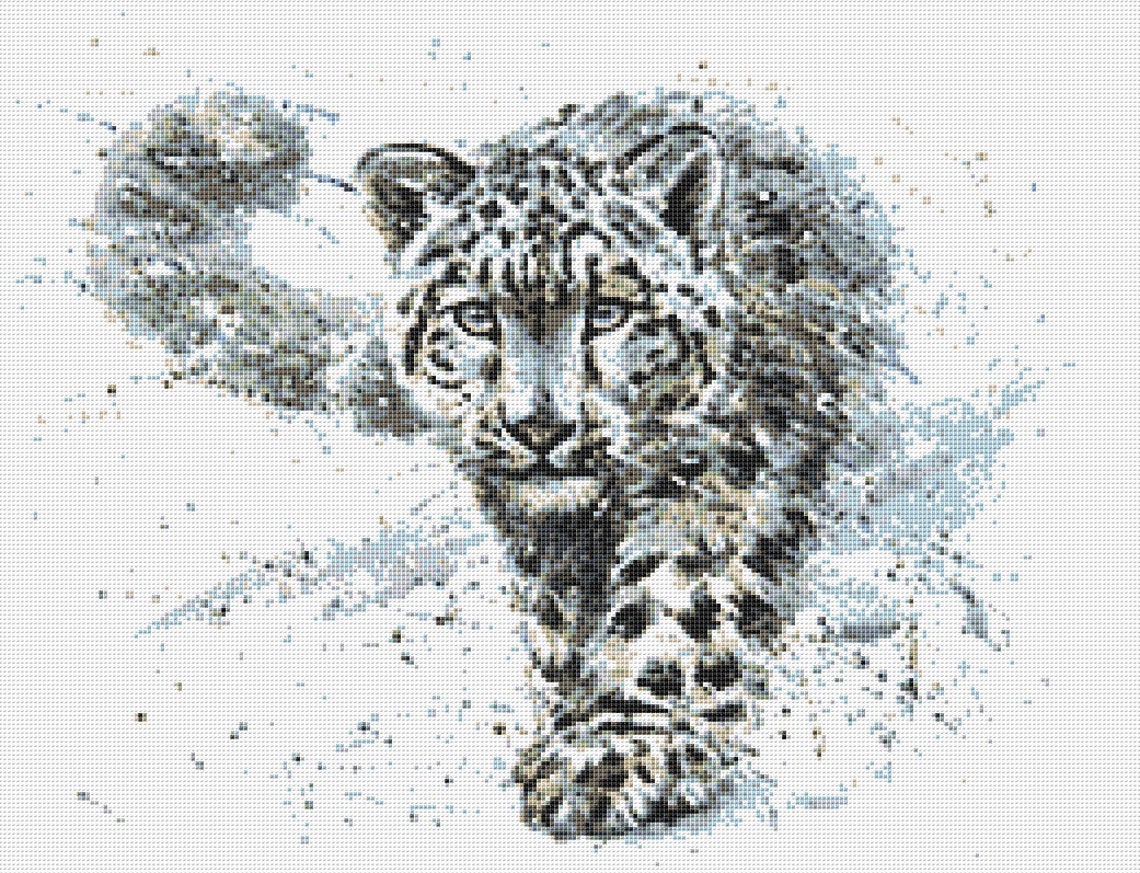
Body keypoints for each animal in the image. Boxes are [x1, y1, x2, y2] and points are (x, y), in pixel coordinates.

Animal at [90, 89, 897, 838]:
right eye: (476, 315)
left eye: (609, 311)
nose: (538, 427)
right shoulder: (534, 529)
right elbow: (564, 616)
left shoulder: (722, 468)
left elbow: (674, 599)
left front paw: (611, 746)